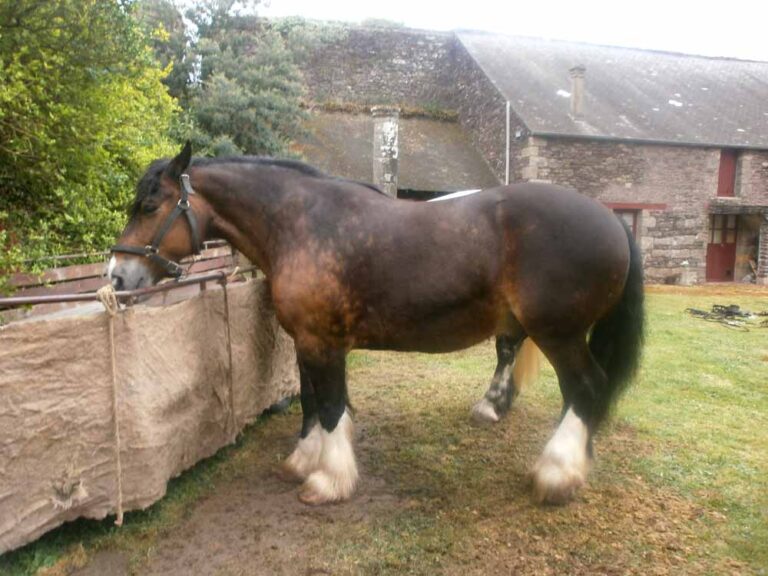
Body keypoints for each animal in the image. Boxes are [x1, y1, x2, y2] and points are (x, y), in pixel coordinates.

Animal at [109, 142, 644, 506]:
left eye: (150, 206)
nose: (116, 275)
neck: (301, 225)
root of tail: (610, 219)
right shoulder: (306, 342)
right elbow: (312, 402)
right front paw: (304, 461)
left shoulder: (322, 343)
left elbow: (329, 406)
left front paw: (329, 480)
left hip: (561, 334)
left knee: (585, 388)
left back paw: (556, 473)